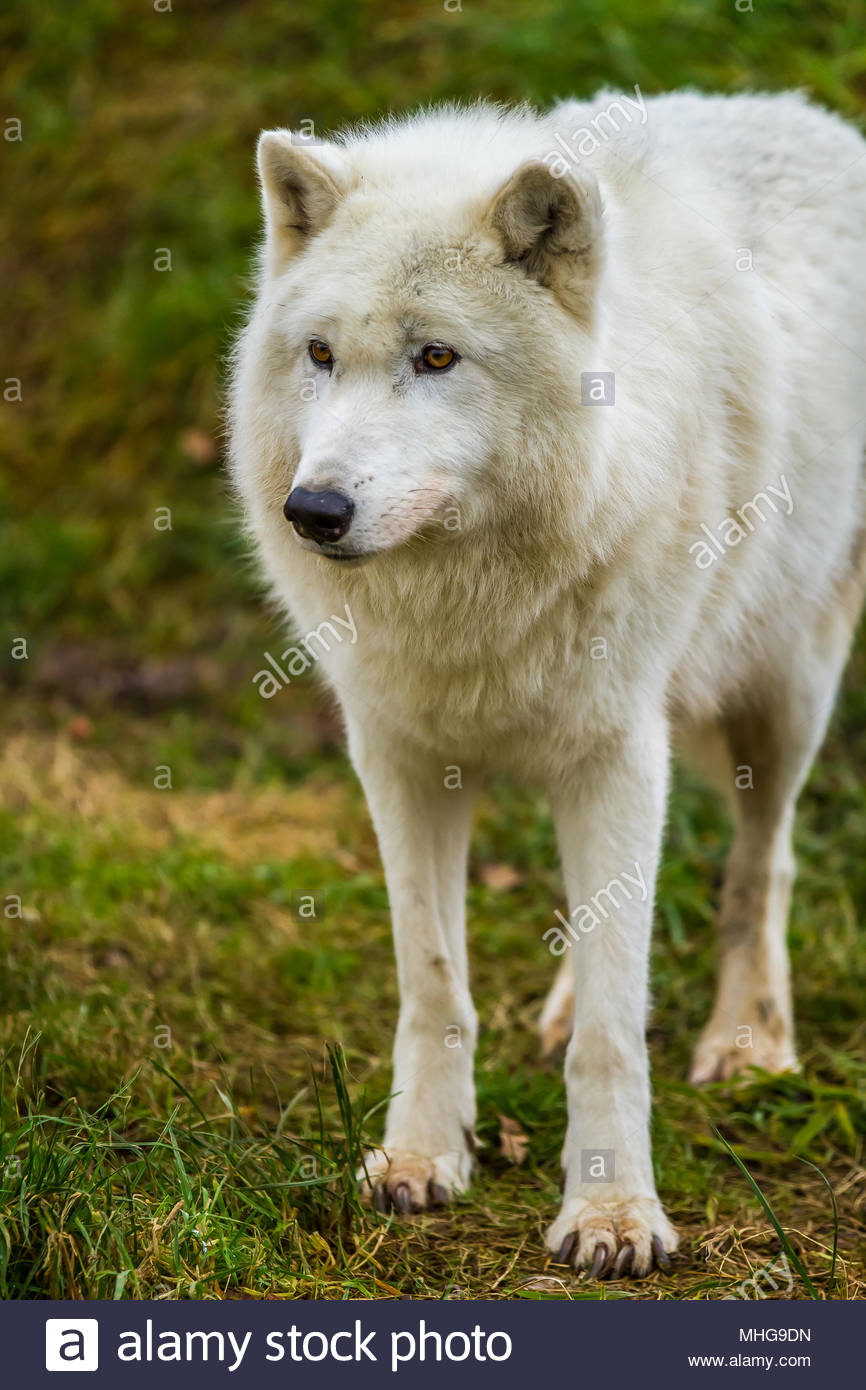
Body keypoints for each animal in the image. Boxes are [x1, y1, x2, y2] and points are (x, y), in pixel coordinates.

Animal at [229, 90, 866, 1277]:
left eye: (437, 355)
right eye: (320, 353)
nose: (313, 512)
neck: (470, 593)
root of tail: (805, 113)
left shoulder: (615, 753)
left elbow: (616, 1036)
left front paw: (613, 1215)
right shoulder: (398, 753)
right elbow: (435, 981)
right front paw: (422, 1157)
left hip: (786, 689)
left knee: (764, 863)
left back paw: (749, 1039)